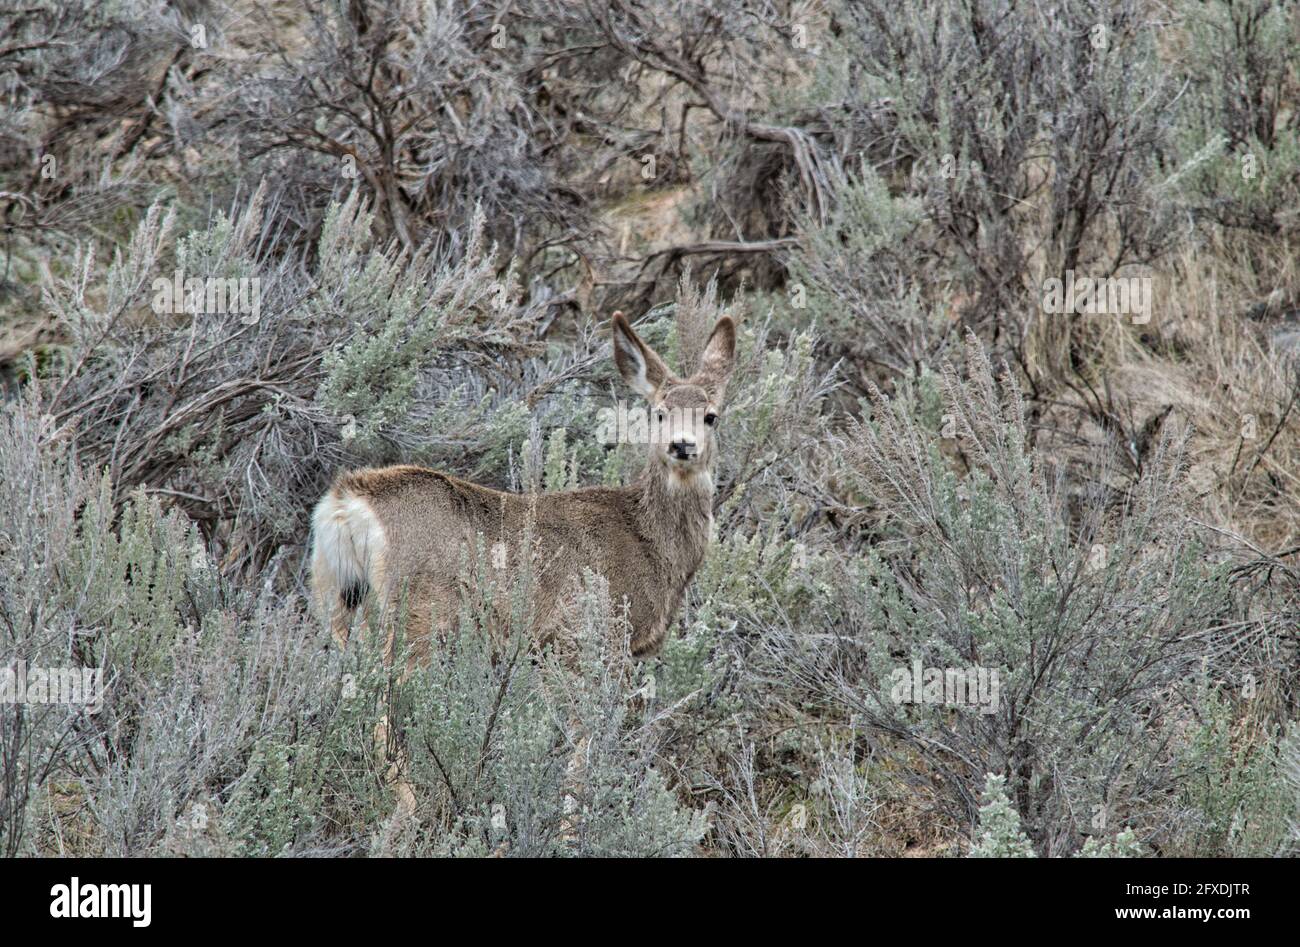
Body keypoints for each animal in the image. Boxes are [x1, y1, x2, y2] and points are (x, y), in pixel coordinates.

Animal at [309, 308, 737, 664]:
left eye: (711, 416)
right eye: (660, 413)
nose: (682, 445)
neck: (650, 539)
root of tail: (345, 503)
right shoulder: (583, 636)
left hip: (335, 597)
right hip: (419, 611)